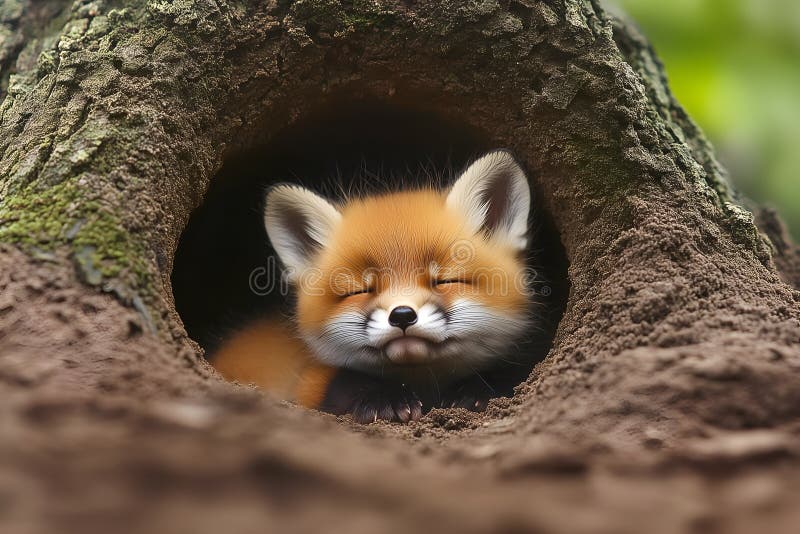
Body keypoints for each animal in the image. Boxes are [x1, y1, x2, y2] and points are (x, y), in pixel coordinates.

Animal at [212, 150, 536, 423]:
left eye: (444, 280)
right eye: (359, 290)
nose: (402, 315)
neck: (423, 383)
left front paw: (477, 391)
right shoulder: (307, 383)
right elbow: (343, 383)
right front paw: (384, 400)